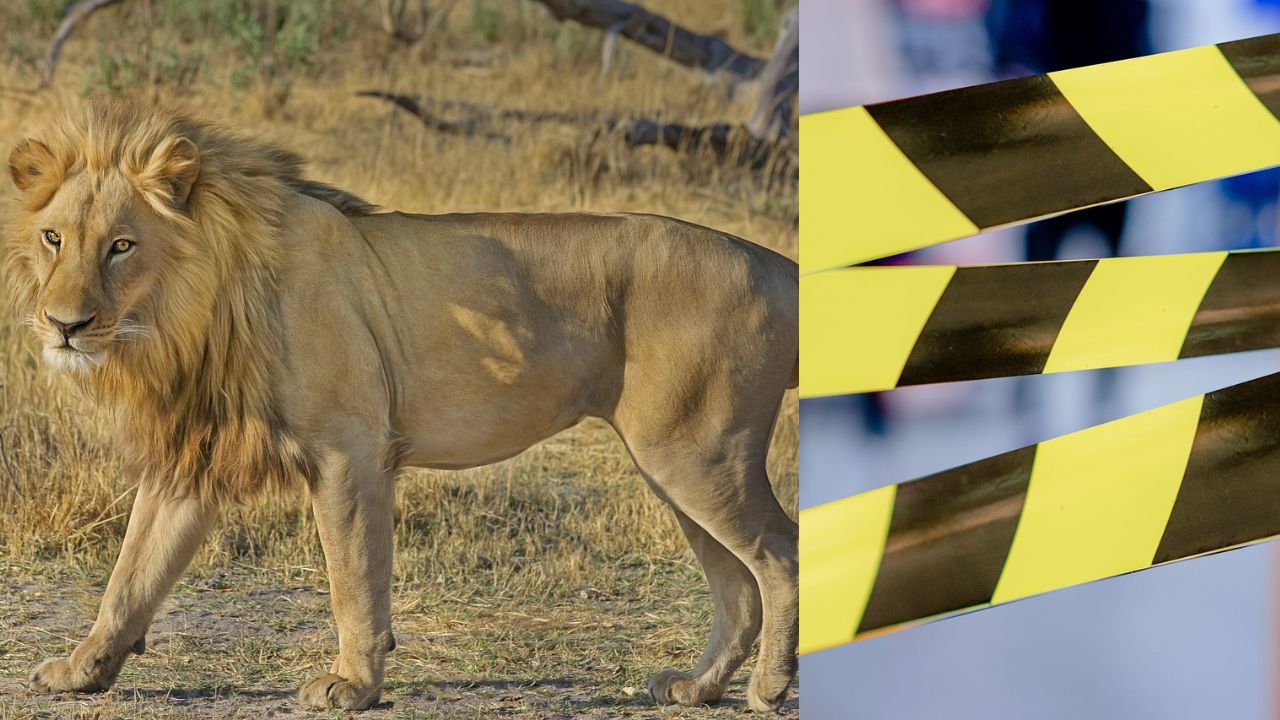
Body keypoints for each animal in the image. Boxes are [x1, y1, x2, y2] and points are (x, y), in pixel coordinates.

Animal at [3, 100, 798, 712]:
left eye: (122, 246)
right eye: (53, 238)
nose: (64, 325)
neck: (189, 314)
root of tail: (768, 261)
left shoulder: (347, 450)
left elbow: (354, 580)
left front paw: (352, 687)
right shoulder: (193, 460)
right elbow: (131, 576)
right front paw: (80, 672)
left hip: (696, 453)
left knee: (781, 553)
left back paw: (769, 689)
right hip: (673, 466)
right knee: (738, 587)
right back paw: (697, 689)